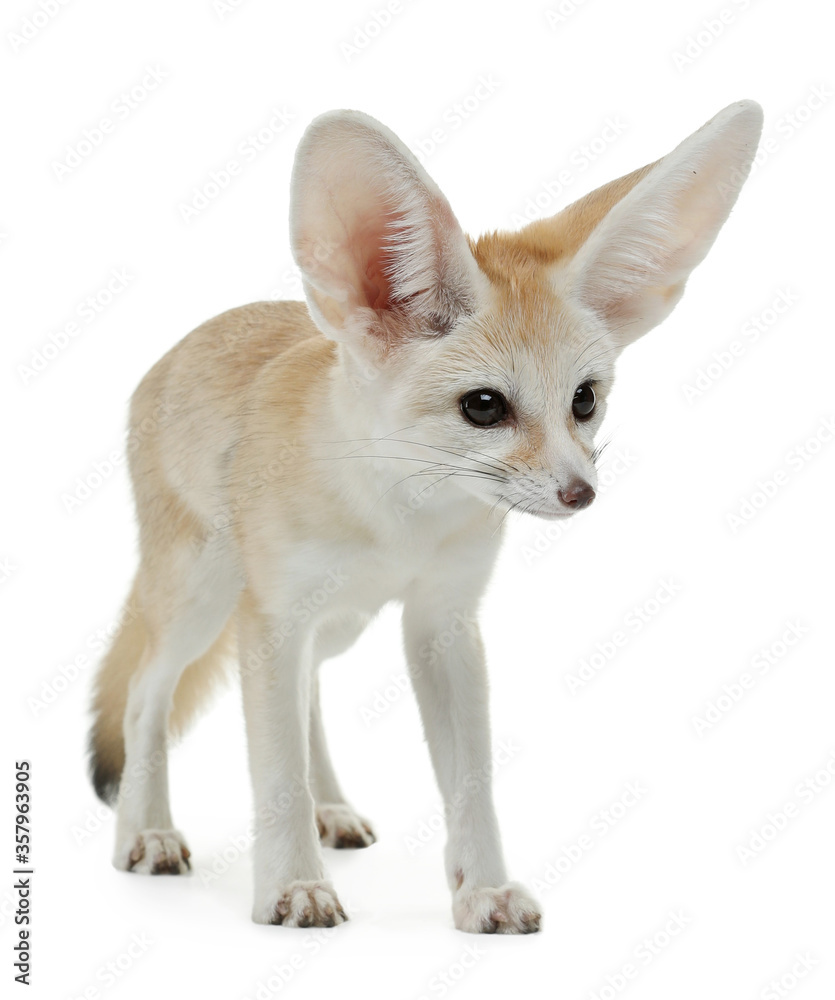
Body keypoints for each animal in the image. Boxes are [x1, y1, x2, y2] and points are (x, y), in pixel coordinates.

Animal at [89, 100, 763, 933]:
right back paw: (146, 831)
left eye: (584, 399)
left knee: (307, 694)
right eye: (484, 406)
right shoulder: (272, 617)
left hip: (333, 625)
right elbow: (274, 774)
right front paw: (291, 886)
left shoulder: (443, 623)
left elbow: (470, 780)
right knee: (145, 695)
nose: (580, 494)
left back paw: (332, 809)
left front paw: (483, 890)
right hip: (202, 601)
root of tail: (177, 348)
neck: (396, 524)